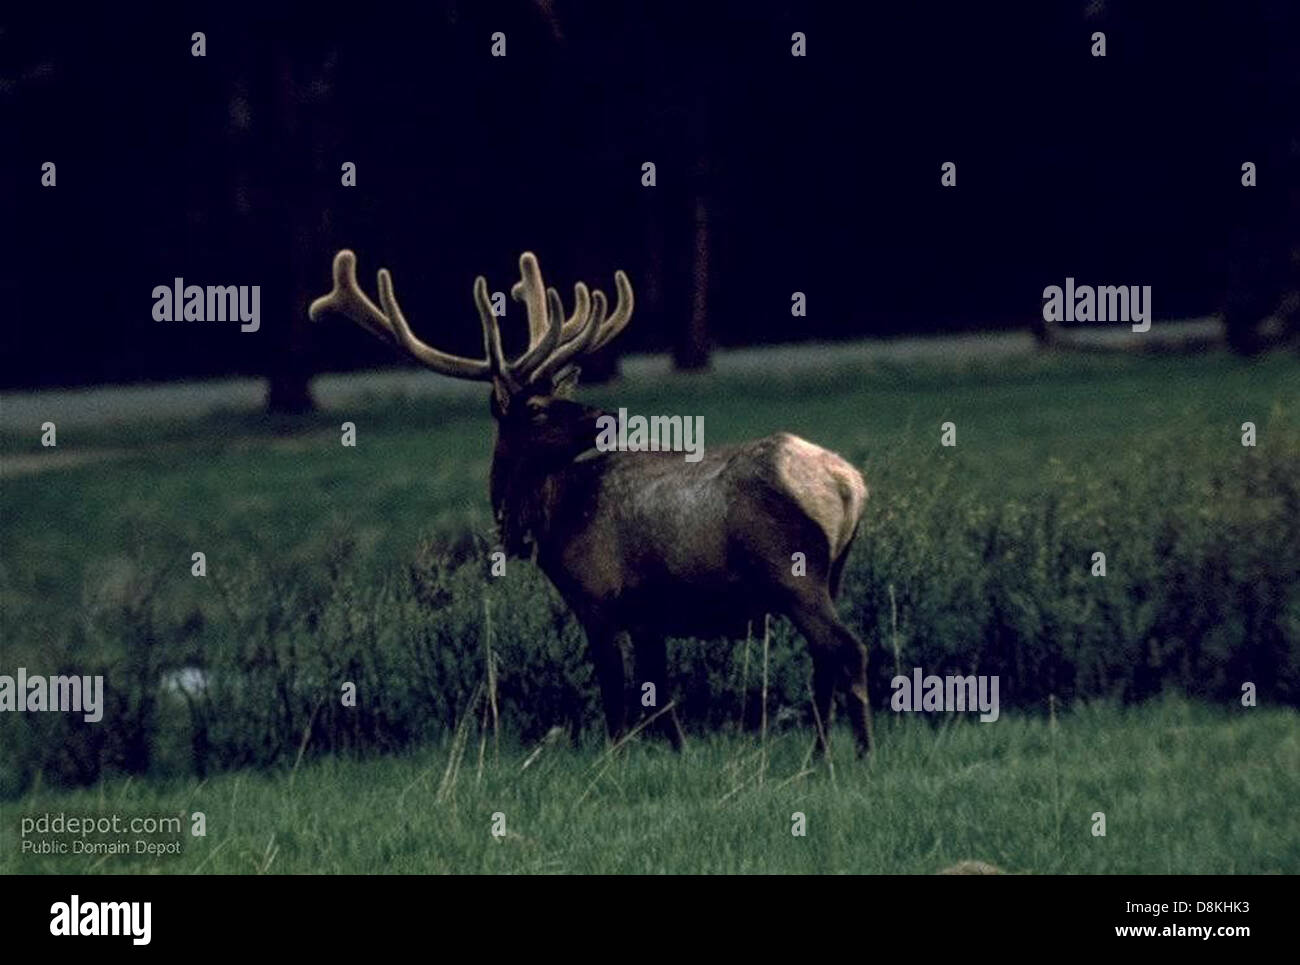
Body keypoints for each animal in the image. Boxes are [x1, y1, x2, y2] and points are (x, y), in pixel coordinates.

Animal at [309, 249, 874, 757]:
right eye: (538, 407)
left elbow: (616, 704)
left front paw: (612, 763)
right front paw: (679, 758)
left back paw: (859, 754)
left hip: (793, 575)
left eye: (555, 397)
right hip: (832, 574)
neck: (553, 521)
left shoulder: (597, 600)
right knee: (826, 662)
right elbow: (662, 704)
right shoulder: (649, 618)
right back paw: (820, 755)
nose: (607, 414)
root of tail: (847, 483)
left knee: (848, 649)